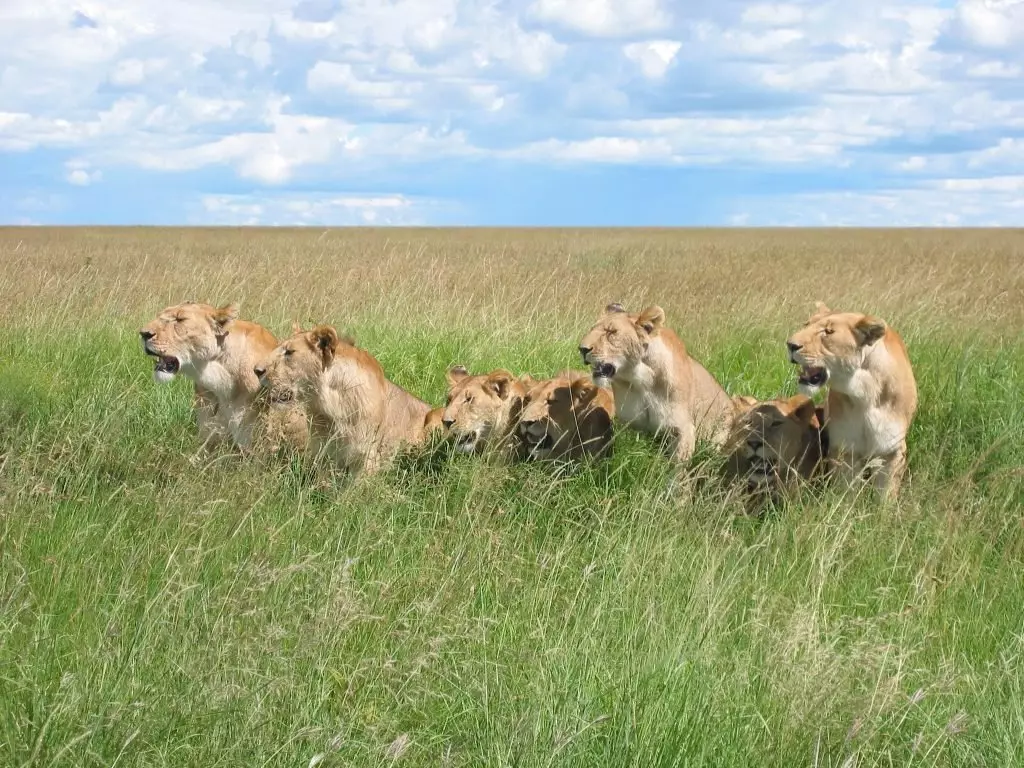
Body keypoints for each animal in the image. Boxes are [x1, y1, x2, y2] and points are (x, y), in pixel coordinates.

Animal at [577, 303, 737, 462]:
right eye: (591, 329)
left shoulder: (683, 429)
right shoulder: (628, 423)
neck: (641, 381)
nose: (582, 349)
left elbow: (676, 467)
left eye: (611, 332)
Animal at [782, 303, 921, 499]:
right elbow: (846, 492)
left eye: (828, 331)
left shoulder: (891, 452)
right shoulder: (845, 449)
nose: (790, 345)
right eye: (806, 324)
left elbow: (886, 496)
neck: (865, 395)